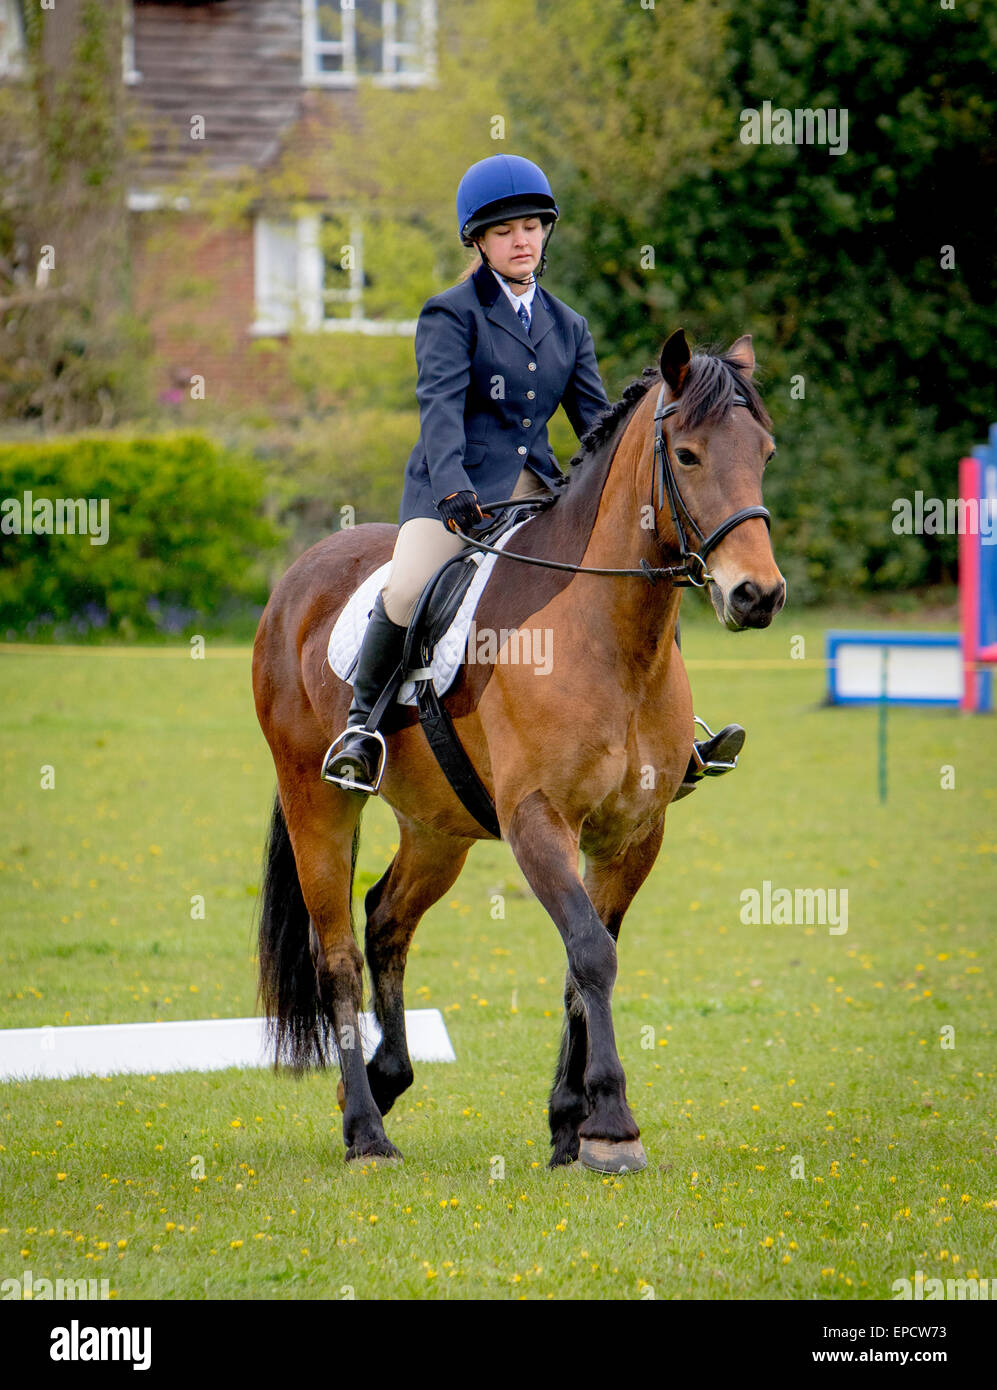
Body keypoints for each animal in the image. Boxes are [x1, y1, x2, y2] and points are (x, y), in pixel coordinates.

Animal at [252, 327, 785, 1171]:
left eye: (763, 451)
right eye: (689, 455)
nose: (756, 596)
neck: (610, 637)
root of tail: (298, 577)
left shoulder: (633, 833)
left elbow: (584, 956)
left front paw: (570, 1125)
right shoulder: (539, 821)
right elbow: (591, 951)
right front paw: (611, 1125)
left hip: (436, 827)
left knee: (385, 918)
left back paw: (385, 1080)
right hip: (317, 798)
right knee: (335, 953)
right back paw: (366, 1132)